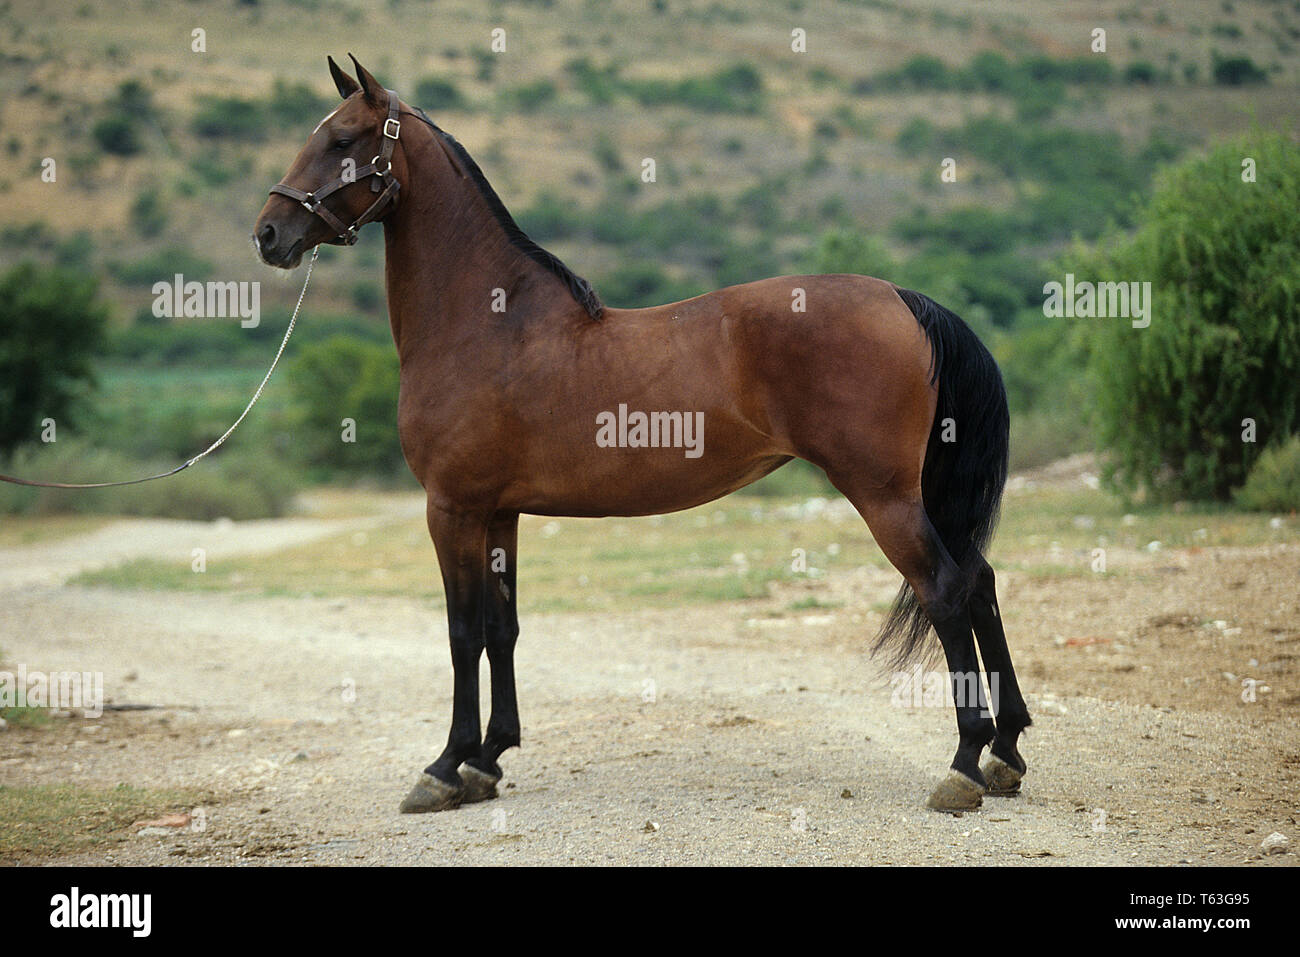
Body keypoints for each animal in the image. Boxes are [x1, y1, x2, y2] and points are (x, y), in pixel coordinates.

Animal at [252, 55, 1031, 814]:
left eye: (343, 140)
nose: (268, 234)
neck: (490, 322)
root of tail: (902, 298)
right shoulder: (499, 512)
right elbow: (502, 629)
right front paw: (489, 759)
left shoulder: (452, 508)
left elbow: (461, 631)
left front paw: (445, 768)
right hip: (920, 495)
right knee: (980, 581)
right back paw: (1006, 752)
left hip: (884, 495)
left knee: (945, 590)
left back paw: (964, 763)